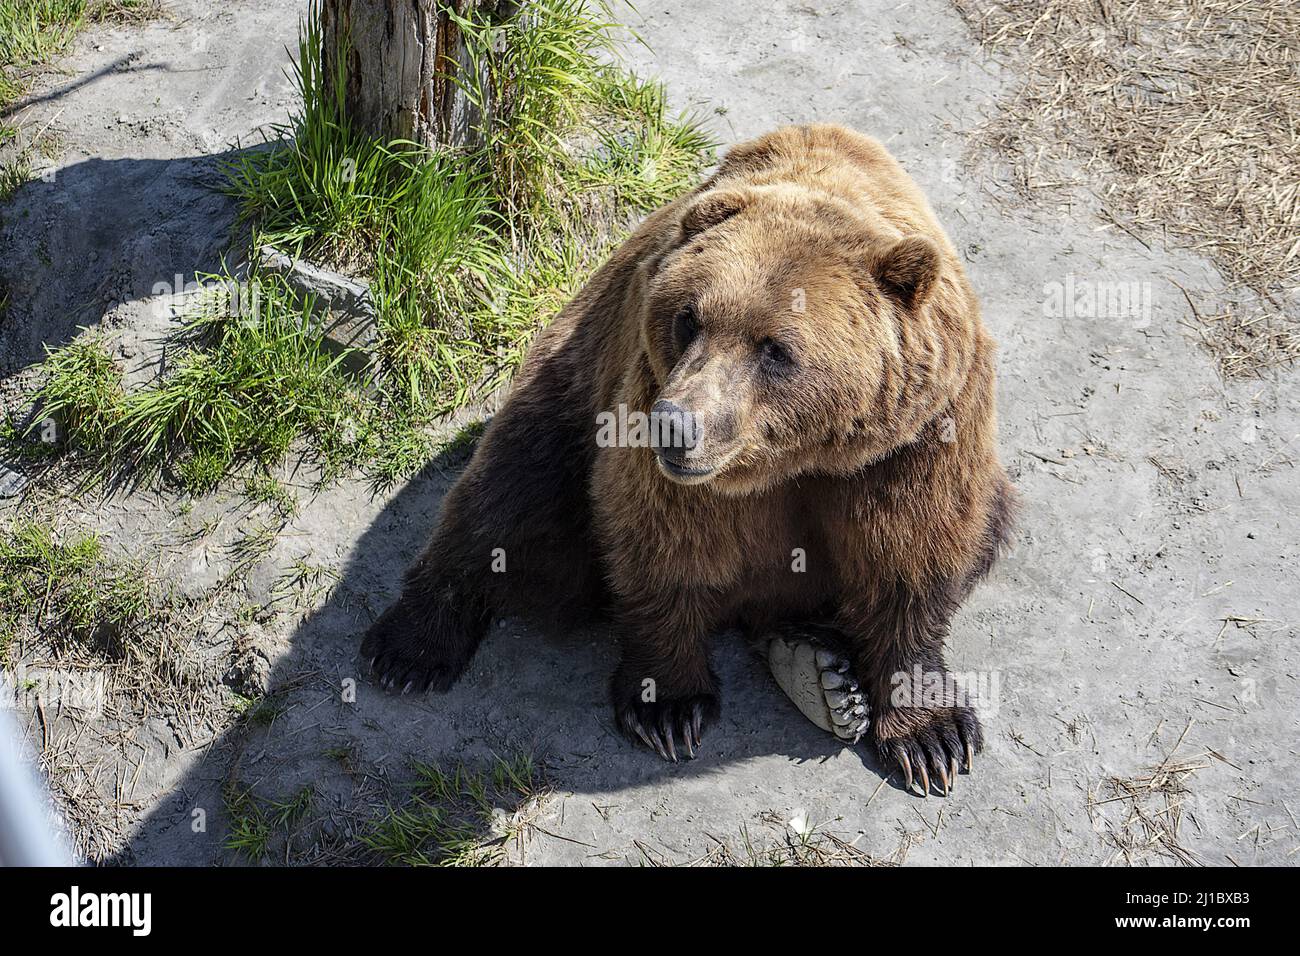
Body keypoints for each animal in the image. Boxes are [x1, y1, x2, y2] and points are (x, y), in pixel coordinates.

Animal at [361, 123, 1014, 796]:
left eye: (775, 349)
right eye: (688, 318)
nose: (675, 425)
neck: (799, 459)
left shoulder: (915, 438)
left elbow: (913, 555)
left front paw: (932, 738)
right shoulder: (649, 405)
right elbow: (661, 539)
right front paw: (669, 707)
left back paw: (818, 669)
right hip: (569, 387)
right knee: (508, 496)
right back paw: (409, 647)